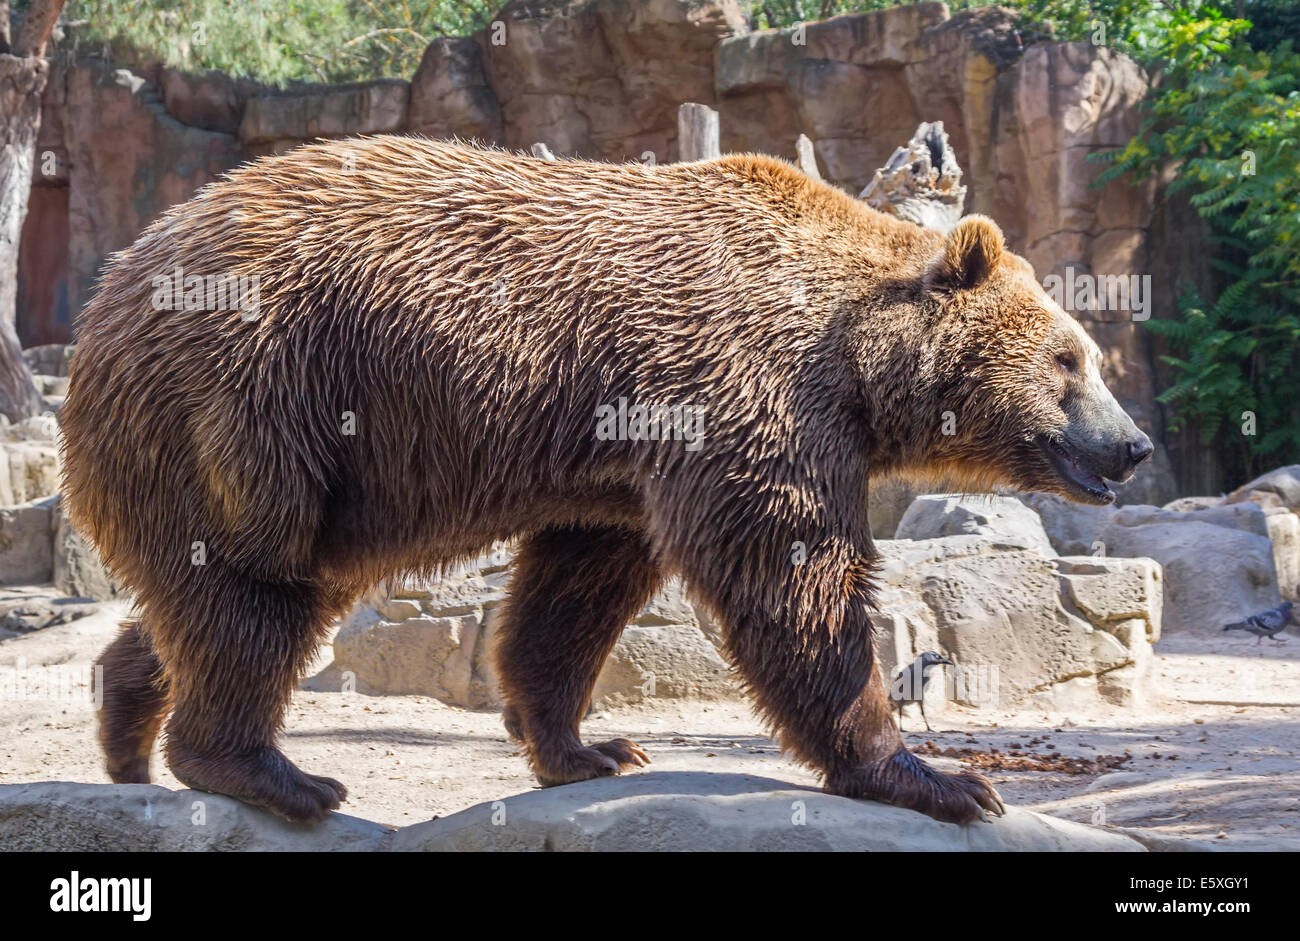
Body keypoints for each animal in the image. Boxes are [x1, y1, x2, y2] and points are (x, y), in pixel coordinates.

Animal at [60, 136, 1153, 825]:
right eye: (1069, 360)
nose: (1132, 444)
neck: (851, 356)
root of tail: (109, 286)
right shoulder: (741, 390)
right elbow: (791, 572)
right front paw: (938, 776)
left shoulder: (620, 456)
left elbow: (575, 592)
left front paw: (589, 749)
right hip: (251, 399)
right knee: (253, 578)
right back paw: (271, 771)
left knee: (228, 592)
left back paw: (127, 722)